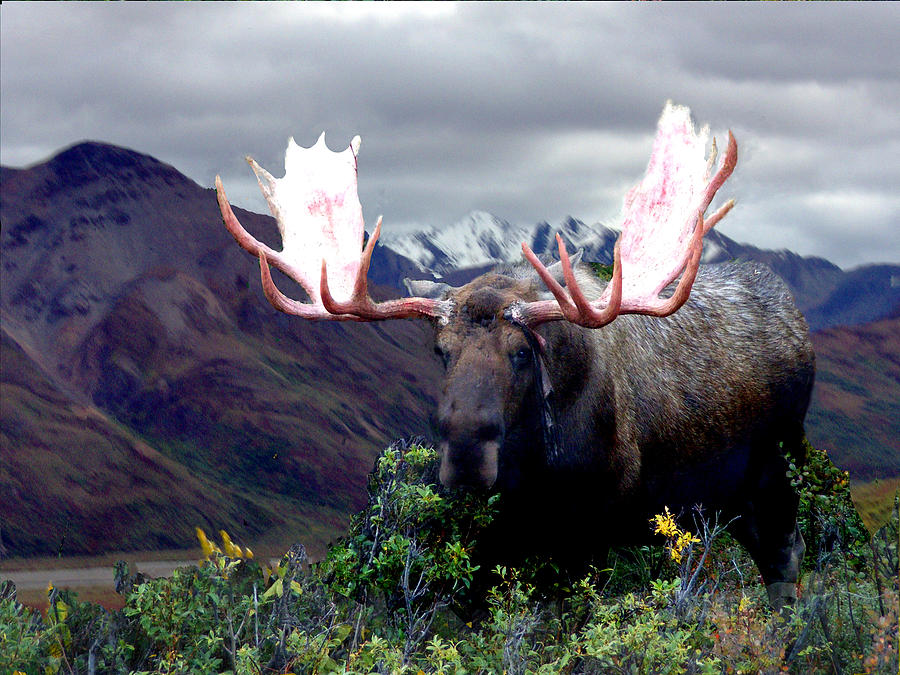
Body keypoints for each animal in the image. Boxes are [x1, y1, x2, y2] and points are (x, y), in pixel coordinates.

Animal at [215, 103, 815, 609]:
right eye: (440, 351)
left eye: (523, 352)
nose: (465, 454)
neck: (540, 470)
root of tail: (796, 317)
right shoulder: (501, 541)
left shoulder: (595, 526)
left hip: (772, 470)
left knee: (787, 557)